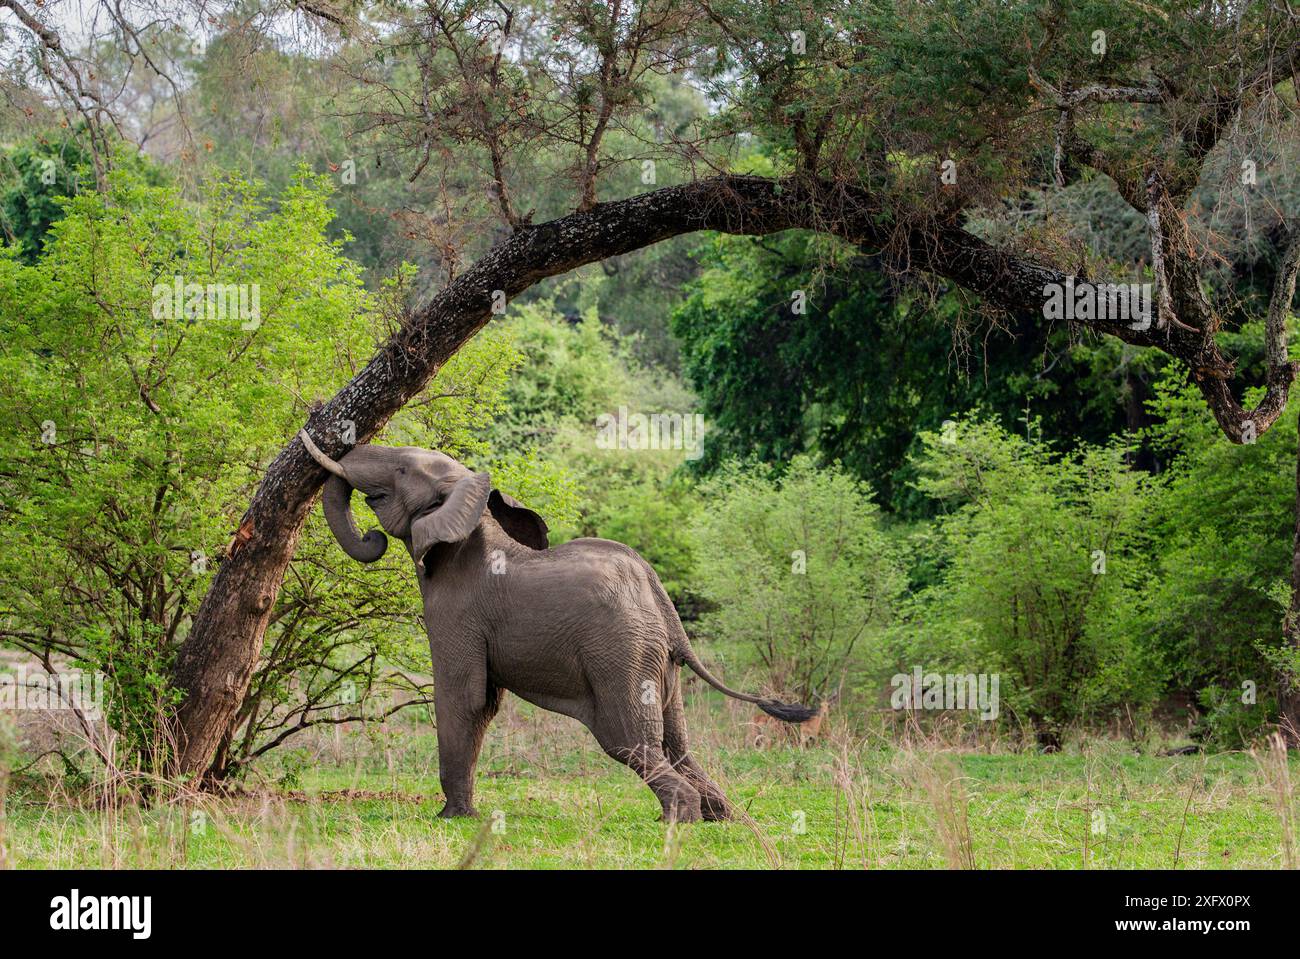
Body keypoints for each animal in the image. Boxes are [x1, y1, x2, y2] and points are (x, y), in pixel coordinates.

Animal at [298, 430, 816, 823]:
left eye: (403, 470)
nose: (372, 536)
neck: (471, 513)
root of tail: (661, 600)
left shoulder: (456, 613)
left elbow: (463, 698)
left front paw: (450, 819)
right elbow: (484, 706)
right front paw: (460, 816)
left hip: (622, 655)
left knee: (629, 742)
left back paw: (676, 821)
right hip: (658, 663)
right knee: (677, 744)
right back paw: (722, 817)